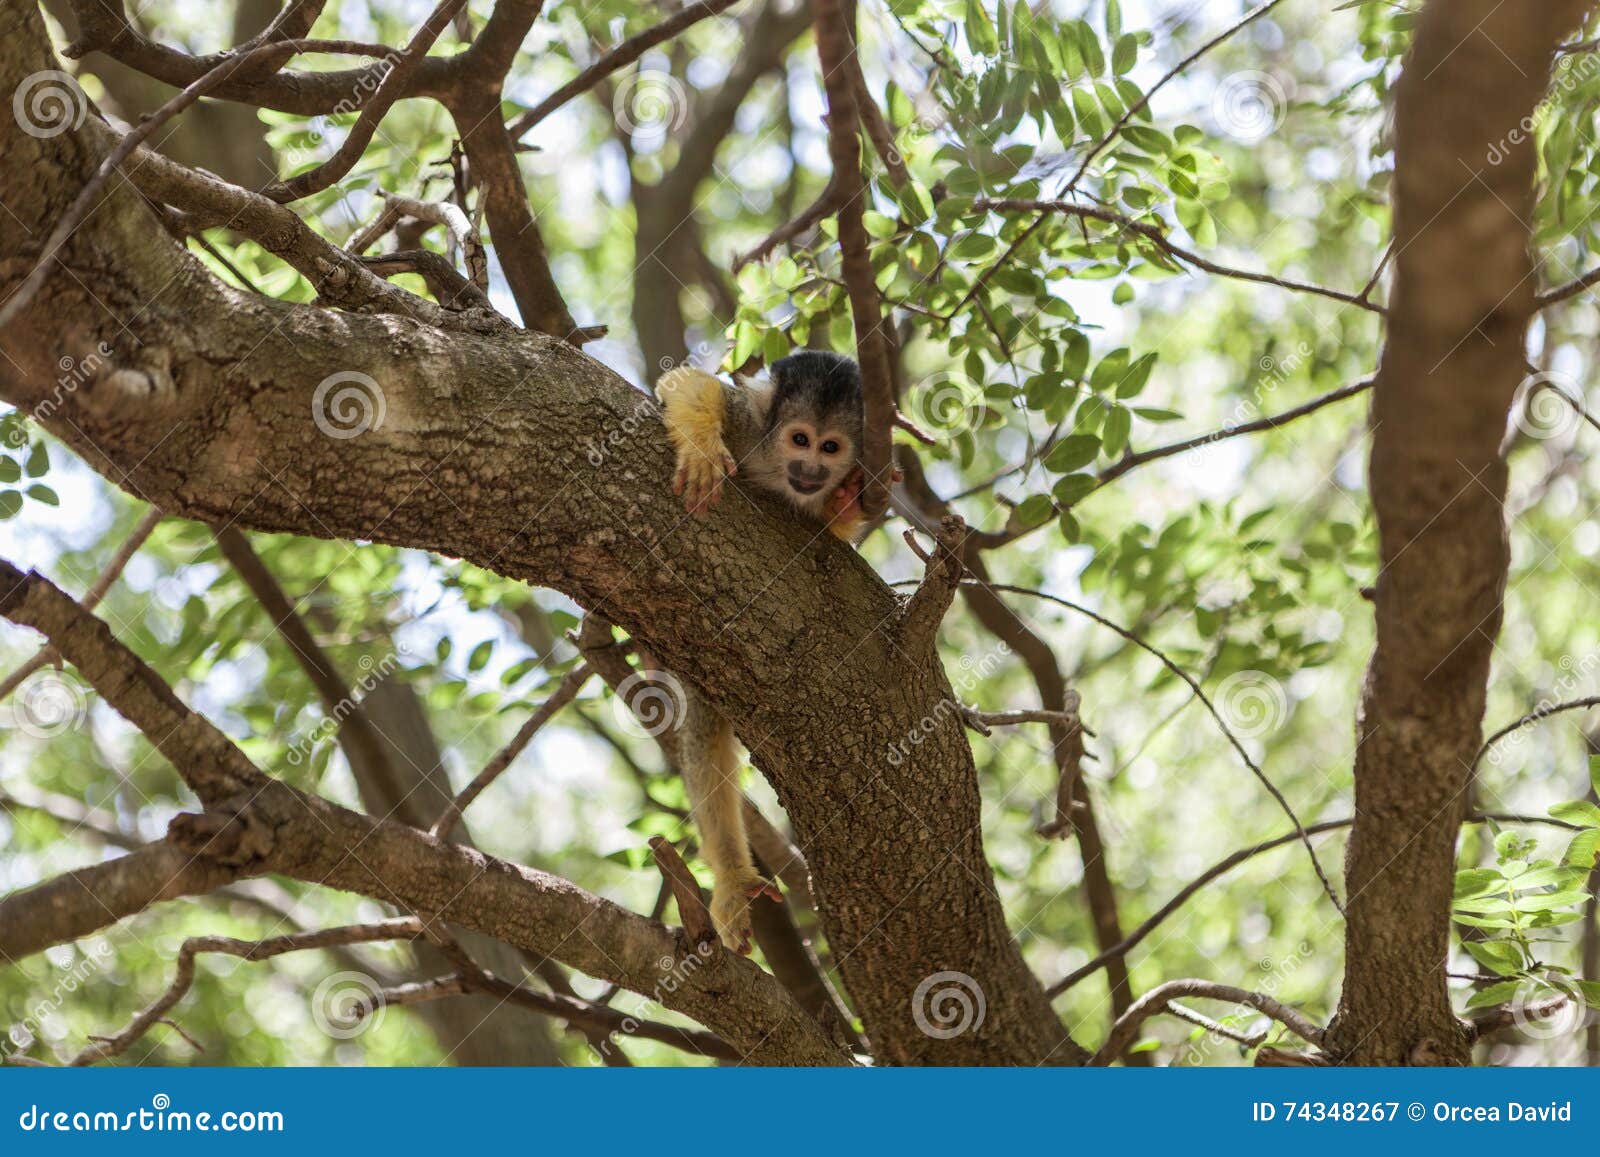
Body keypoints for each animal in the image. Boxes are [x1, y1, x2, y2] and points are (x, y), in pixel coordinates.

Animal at [651, 350, 869, 951]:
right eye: (799, 439)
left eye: (830, 448)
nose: (812, 471)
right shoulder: (750, 426)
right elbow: (685, 384)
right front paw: (701, 446)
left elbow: (830, 534)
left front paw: (841, 505)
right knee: (704, 733)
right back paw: (734, 880)